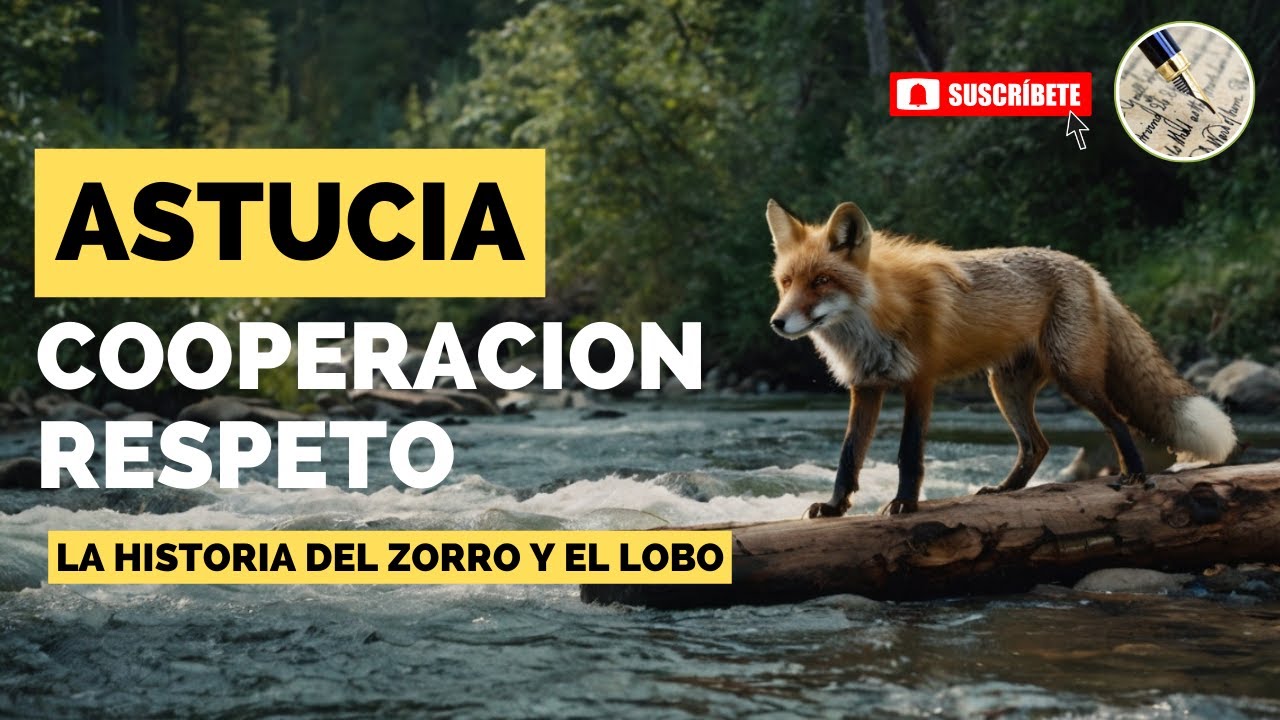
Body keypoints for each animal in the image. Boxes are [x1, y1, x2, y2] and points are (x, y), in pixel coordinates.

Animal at [766, 199, 1237, 518]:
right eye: (787, 282)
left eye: (822, 281)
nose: (777, 322)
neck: (879, 317)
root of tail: (1088, 269)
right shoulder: (866, 387)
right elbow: (848, 457)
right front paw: (834, 507)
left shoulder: (921, 382)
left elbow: (909, 454)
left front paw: (904, 502)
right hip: (1005, 387)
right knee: (1037, 445)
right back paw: (1007, 490)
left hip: (1073, 377)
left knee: (1116, 421)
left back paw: (1135, 473)